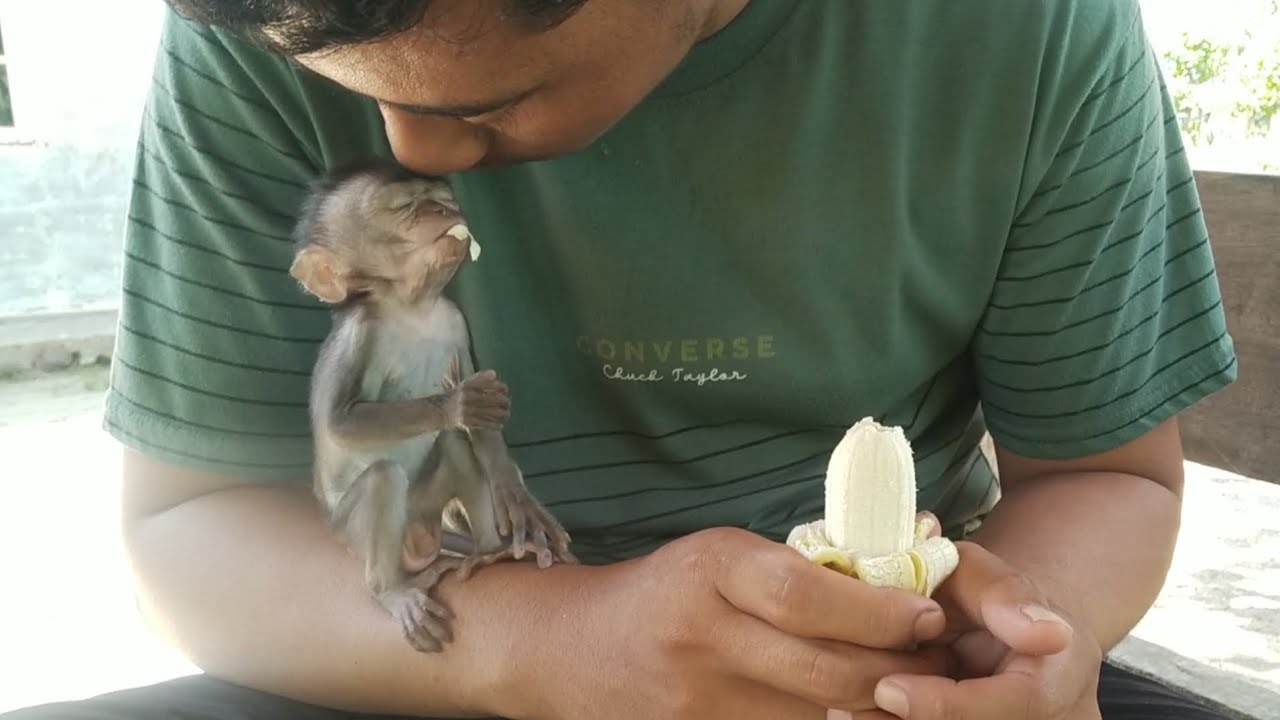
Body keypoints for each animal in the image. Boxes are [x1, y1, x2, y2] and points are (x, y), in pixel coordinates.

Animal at [288, 160, 575, 652]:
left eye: (440, 197)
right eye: (403, 207)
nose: (444, 210)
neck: (413, 312)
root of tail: (418, 543)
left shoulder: (454, 321)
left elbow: (478, 433)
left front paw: (514, 492)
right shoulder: (361, 331)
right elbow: (339, 423)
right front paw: (458, 403)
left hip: (424, 509)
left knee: (455, 449)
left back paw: (490, 551)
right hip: (350, 534)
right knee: (383, 478)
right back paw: (390, 591)